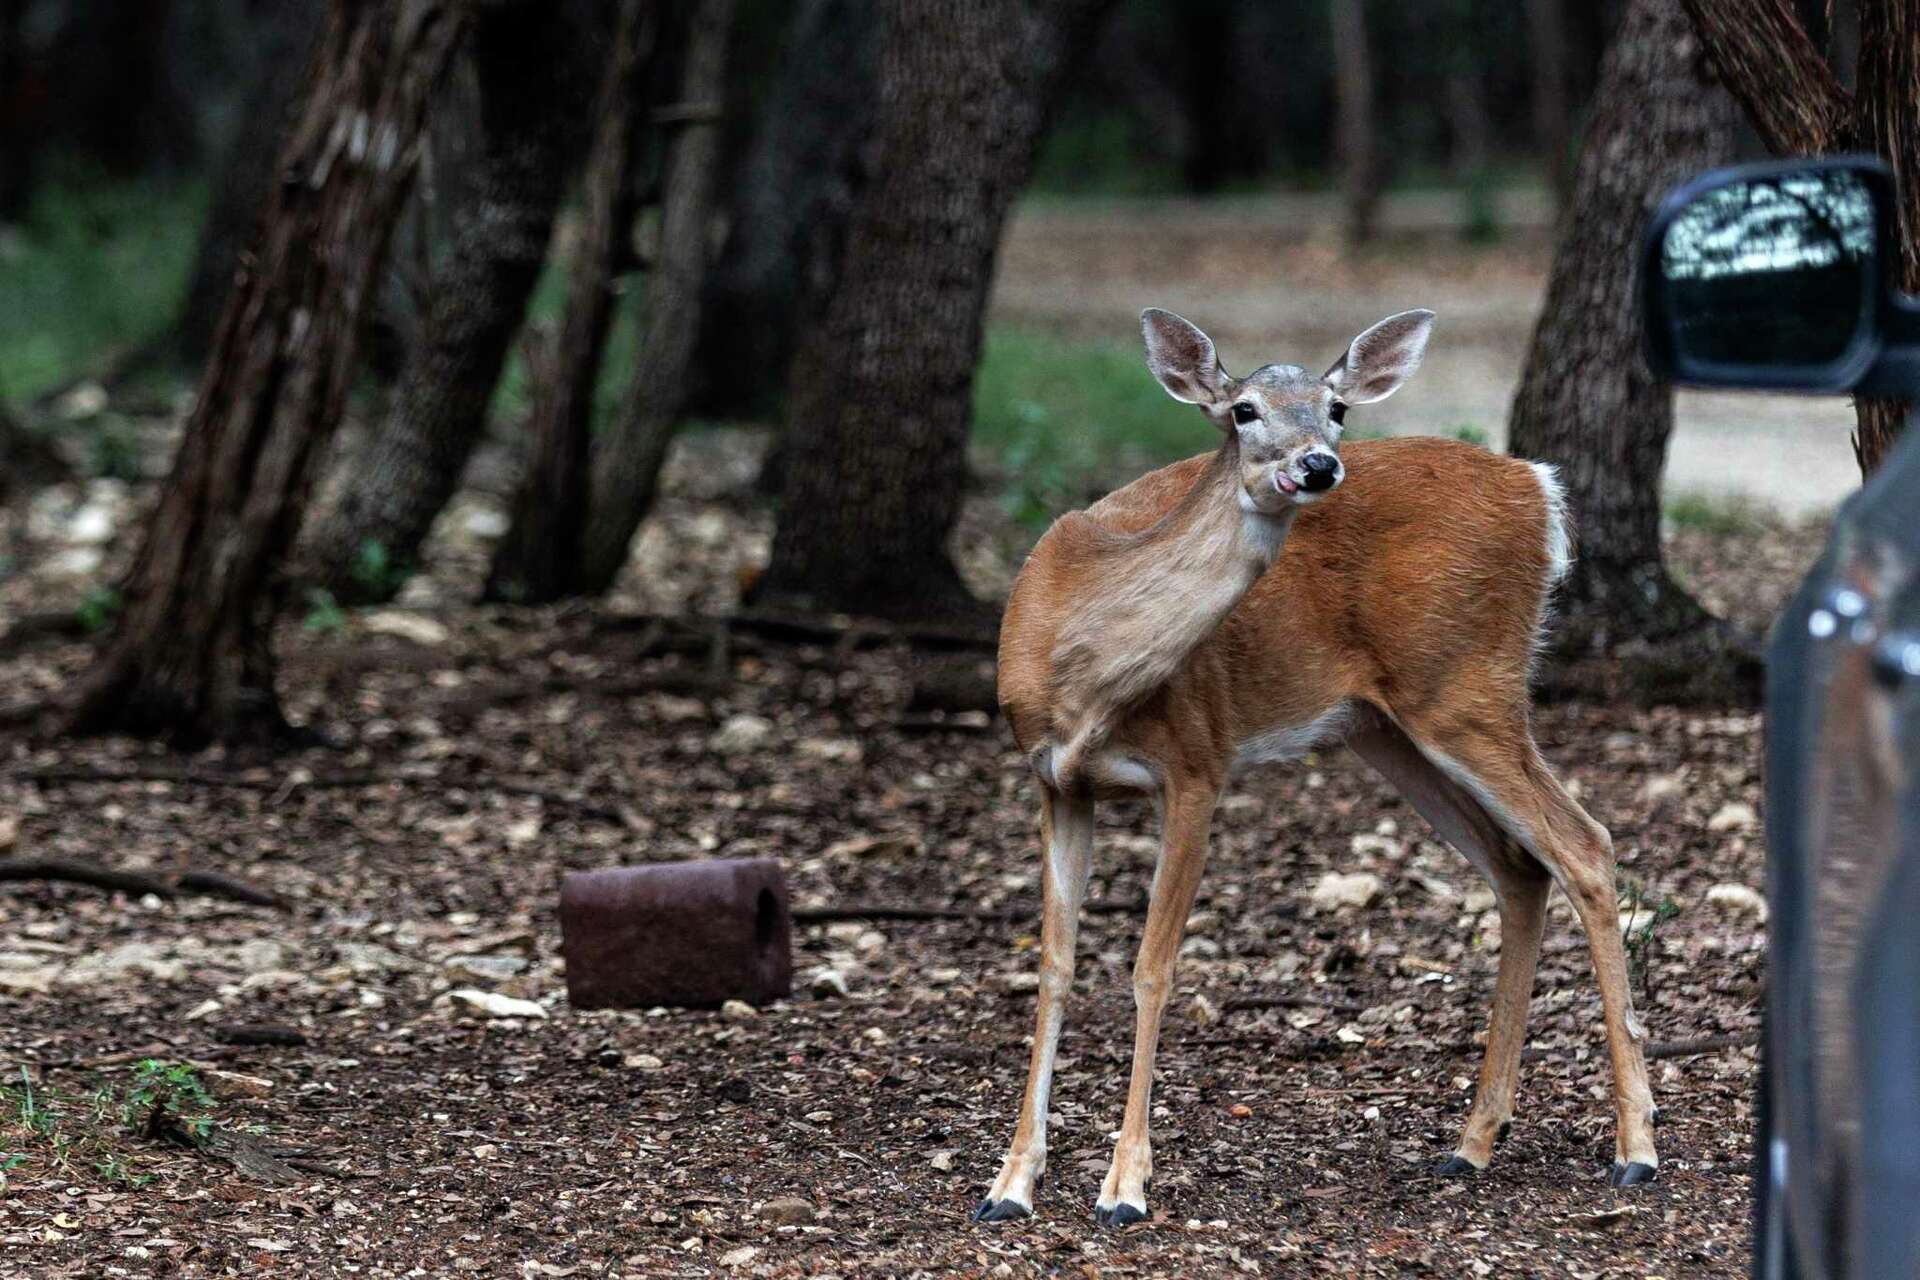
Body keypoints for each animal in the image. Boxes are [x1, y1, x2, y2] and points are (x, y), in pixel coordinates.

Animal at [974, 308, 1658, 1228]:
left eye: (1336, 409)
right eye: (1243, 411)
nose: (1319, 464)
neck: (1083, 659)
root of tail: (1540, 490)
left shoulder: (1198, 761)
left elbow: (1153, 968)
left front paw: (1124, 1188)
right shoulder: (1054, 781)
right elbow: (1053, 966)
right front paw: (1011, 1184)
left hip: (1467, 685)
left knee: (1585, 844)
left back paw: (1636, 1148)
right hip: (1388, 726)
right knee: (1521, 866)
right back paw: (1473, 1141)